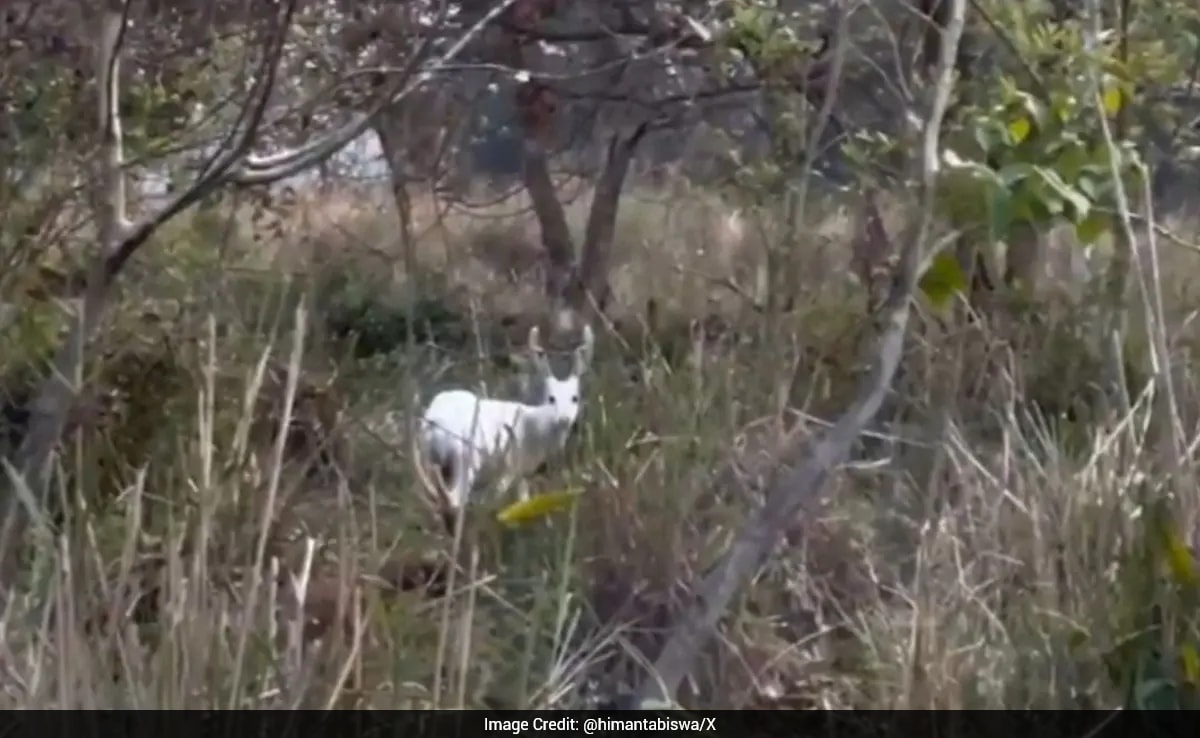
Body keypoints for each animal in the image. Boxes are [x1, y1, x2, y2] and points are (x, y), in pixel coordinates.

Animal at [416, 323, 595, 530]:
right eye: (551, 398)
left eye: (575, 398)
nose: (564, 419)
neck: (535, 428)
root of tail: (434, 424)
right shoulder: (512, 466)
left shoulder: (521, 473)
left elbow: (524, 501)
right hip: (464, 458)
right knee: (455, 498)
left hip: (427, 457)